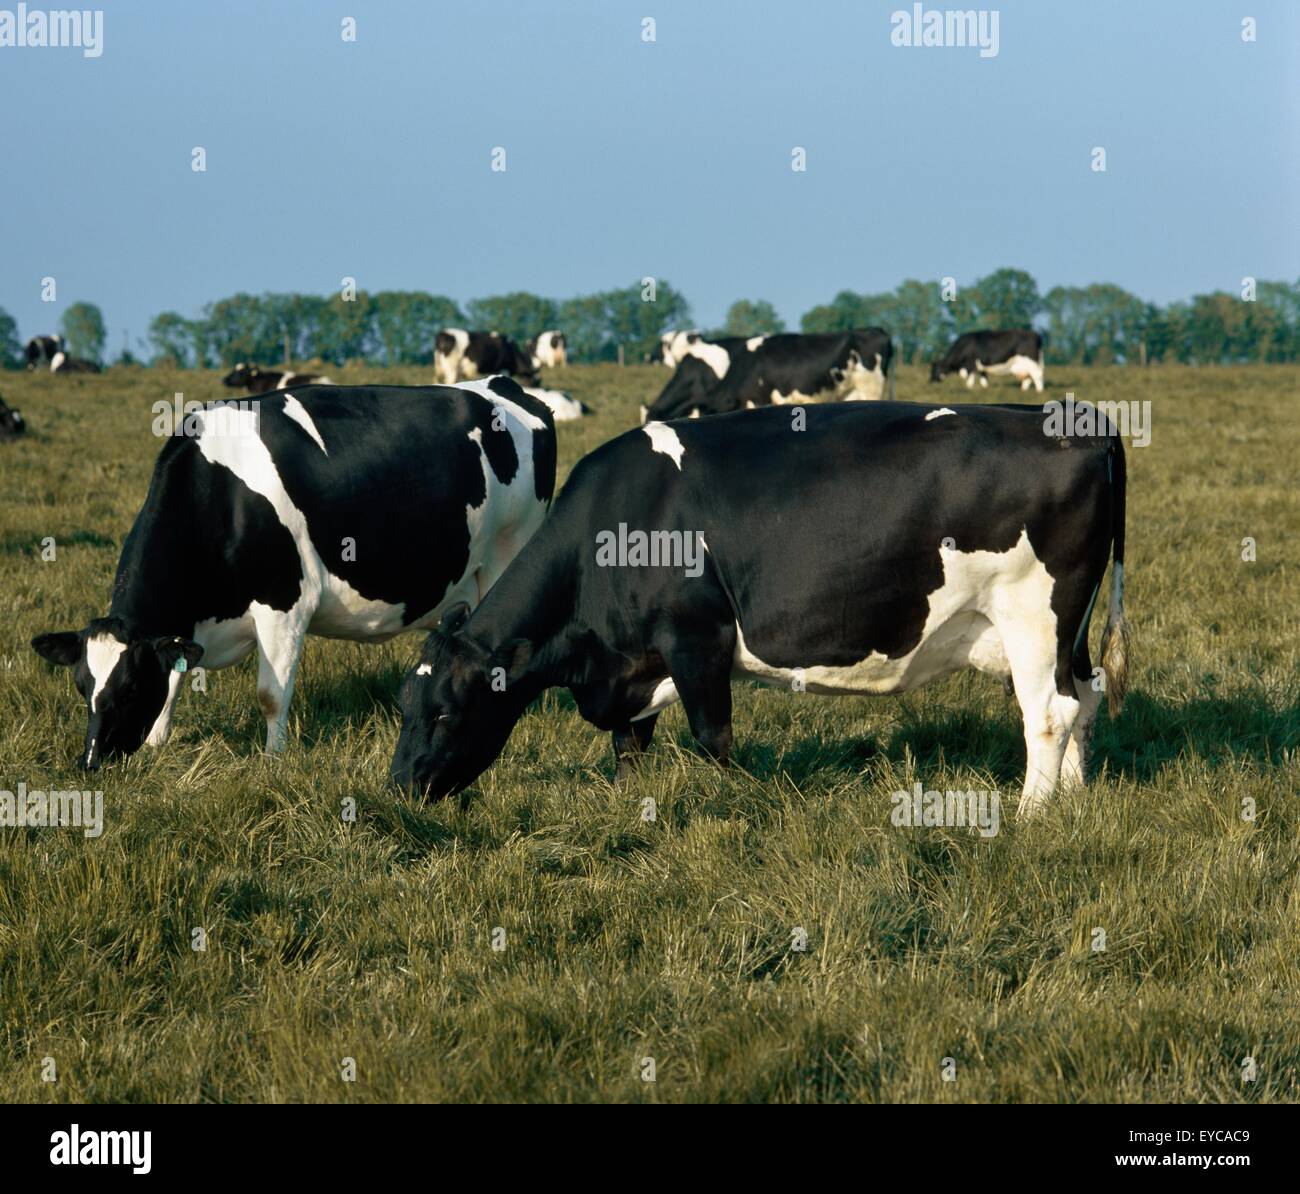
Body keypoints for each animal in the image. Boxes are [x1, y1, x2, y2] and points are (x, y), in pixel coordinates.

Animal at [31, 377, 556, 769]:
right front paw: (160, 743)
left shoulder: (283, 603)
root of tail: (502, 384)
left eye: (130, 686)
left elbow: (270, 694)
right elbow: (176, 678)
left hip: (511, 552)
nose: (91, 761)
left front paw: (273, 760)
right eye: (81, 685)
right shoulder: (185, 627)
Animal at [391, 400, 1129, 818]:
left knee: (1048, 712)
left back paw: (1031, 814)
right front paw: (628, 803)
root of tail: (1080, 421)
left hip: (1033, 612)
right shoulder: (634, 660)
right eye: (403, 706)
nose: (399, 787)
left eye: (446, 712)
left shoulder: (694, 638)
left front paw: (735, 803)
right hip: (1071, 627)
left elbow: (712, 737)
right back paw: (1074, 797)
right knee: (1085, 697)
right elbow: (628, 743)